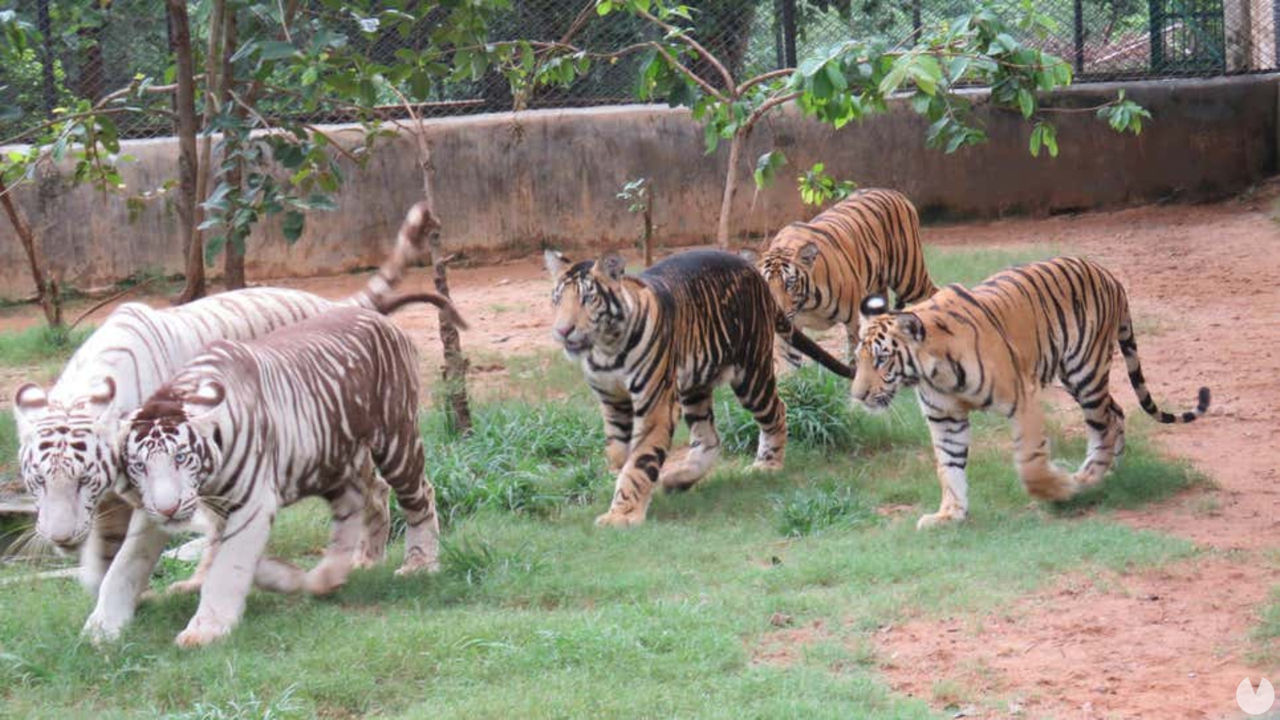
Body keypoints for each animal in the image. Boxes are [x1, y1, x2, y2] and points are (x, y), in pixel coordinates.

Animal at [12, 201, 438, 601]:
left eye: (83, 480)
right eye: (38, 481)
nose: (59, 538)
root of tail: (333, 306)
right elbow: (106, 551)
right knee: (375, 489)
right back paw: (367, 558)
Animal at [107, 293, 462, 647]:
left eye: (180, 457)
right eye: (139, 466)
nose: (167, 510)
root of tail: (378, 318)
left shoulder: (251, 504)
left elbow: (227, 567)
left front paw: (205, 630)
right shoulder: (210, 511)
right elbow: (204, 554)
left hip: (395, 438)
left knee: (420, 496)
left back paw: (419, 563)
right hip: (331, 458)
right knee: (357, 506)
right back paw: (339, 571)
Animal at [545, 248, 853, 527]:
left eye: (587, 299)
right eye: (557, 299)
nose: (562, 331)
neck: (605, 350)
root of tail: (754, 271)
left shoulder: (655, 404)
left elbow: (639, 460)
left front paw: (622, 515)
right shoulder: (613, 404)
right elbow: (621, 455)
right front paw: (628, 492)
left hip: (750, 375)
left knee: (776, 410)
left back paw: (768, 465)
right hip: (694, 386)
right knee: (709, 438)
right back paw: (679, 479)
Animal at [753, 188, 937, 365]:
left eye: (790, 283)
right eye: (766, 285)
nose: (776, 315)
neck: (806, 303)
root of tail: (894, 193)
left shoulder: (856, 319)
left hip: (910, 280)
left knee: (933, 295)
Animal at [849, 256, 1210, 530]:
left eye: (882, 359)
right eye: (858, 358)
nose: (857, 396)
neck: (933, 372)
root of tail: (1110, 277)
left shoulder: (1022, 399)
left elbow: (1030, 463)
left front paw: (1059, 489)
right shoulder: (945, 417)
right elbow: (948, 467)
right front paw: (949, 515)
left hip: (1085, 372)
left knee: (1103, 425)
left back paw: (1087, 477)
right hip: (1076, 377)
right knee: (1115, 413)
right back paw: (1111, 470)